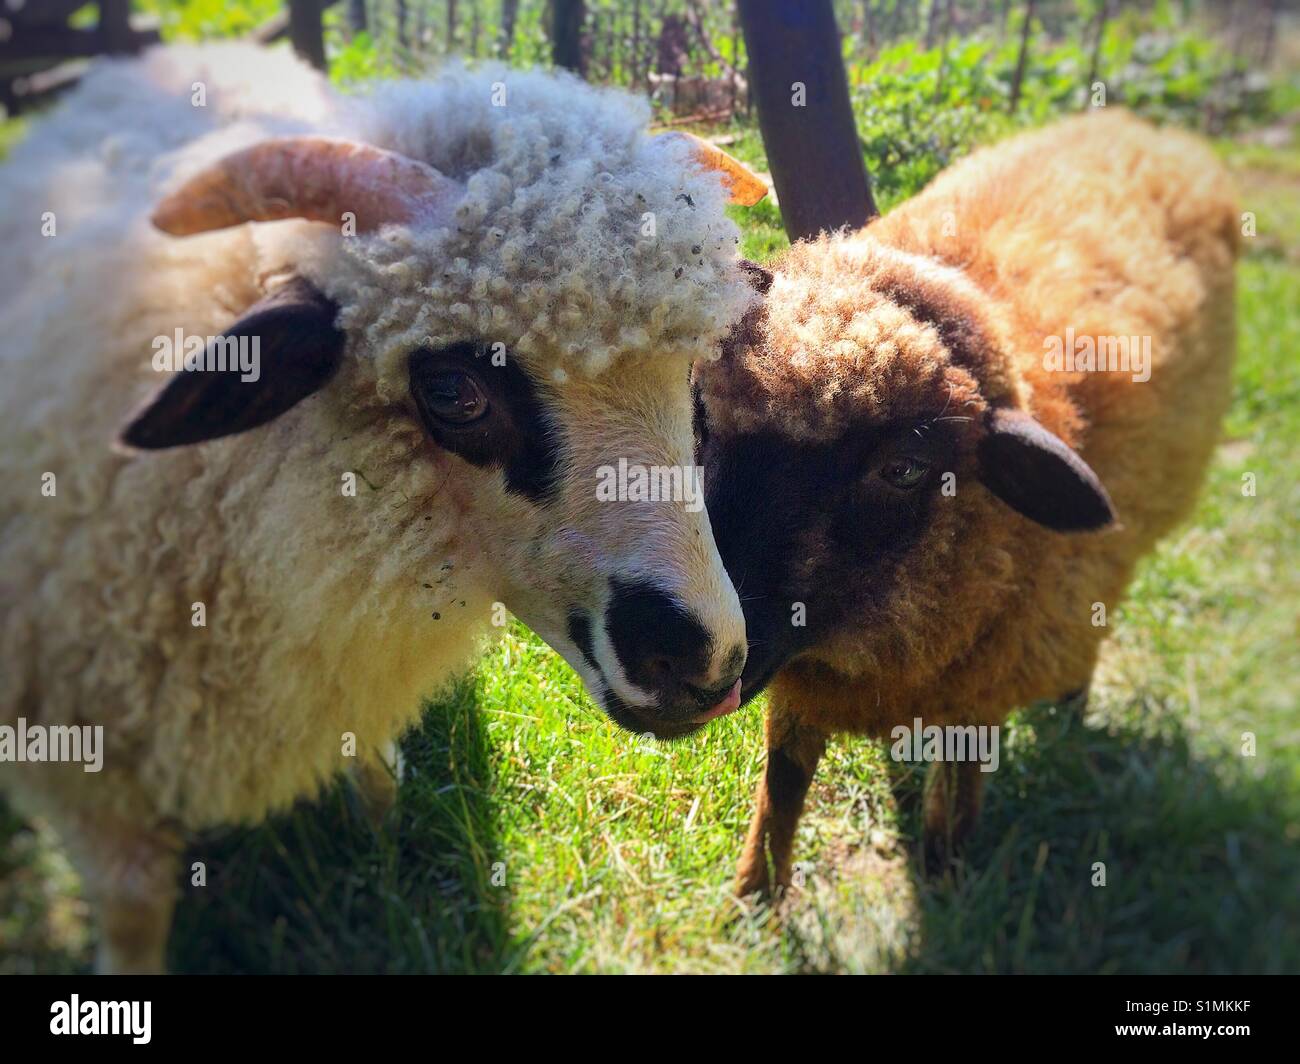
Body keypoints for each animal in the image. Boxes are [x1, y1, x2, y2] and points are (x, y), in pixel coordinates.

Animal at [0, 43, 767, 972]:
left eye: (694, 370)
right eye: (454, 391)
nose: (706, 665)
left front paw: (379, 812)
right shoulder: (86, 771)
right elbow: (134, 905)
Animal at [692, 109, 1239, 897]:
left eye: (905, 468)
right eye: (700, 417)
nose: (672, 659)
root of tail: (1143, 128)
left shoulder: (979, 688)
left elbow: (953, 810)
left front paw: (948, 886)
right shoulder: (800, 680)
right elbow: (785, 786)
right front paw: (754, 897)